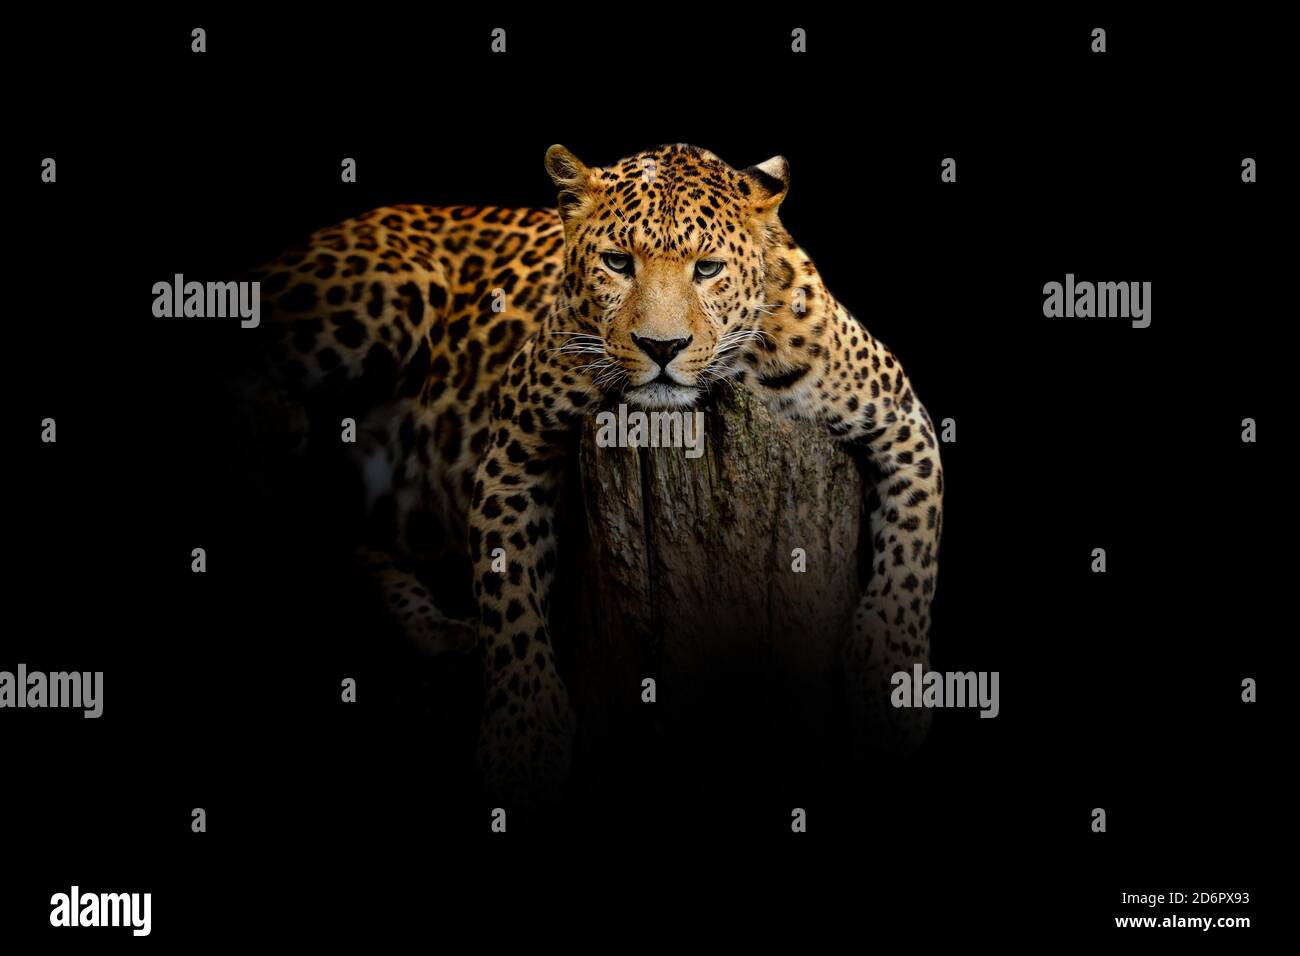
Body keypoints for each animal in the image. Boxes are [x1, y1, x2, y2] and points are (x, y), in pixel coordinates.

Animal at [239, 143, 944, 800]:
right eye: (618, 263)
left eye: (707, 268)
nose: (662, 348)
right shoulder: (513, 445)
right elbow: (509, 599)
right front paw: (522, 735)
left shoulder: (903, 419)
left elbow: (914, 554)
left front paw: (890, 686)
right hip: (385, 290)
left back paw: (438, 629)